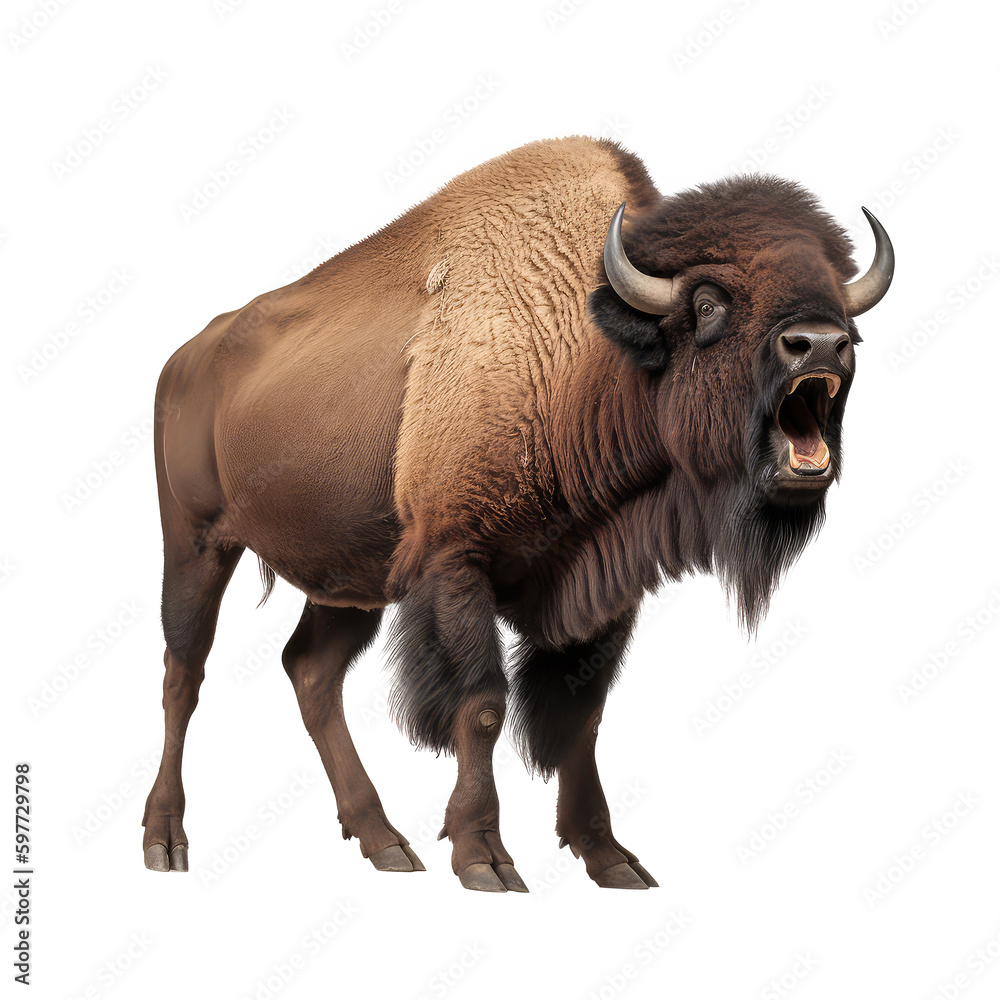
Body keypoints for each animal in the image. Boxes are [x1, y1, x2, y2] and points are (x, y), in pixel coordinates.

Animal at [142, 136, 892, 891]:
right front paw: (483, 857)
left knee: (311, 672)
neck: (586, 353)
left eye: (842, 307)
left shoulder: (602, 593)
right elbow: (482, 704)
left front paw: (610, 858)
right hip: (195, 545)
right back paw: (165, 840)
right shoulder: (456, 563)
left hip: (350, 578)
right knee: (184, 674)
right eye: (708, 303)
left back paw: (384, 841)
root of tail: (185, 359)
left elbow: (581, 717)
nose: (821, 343)